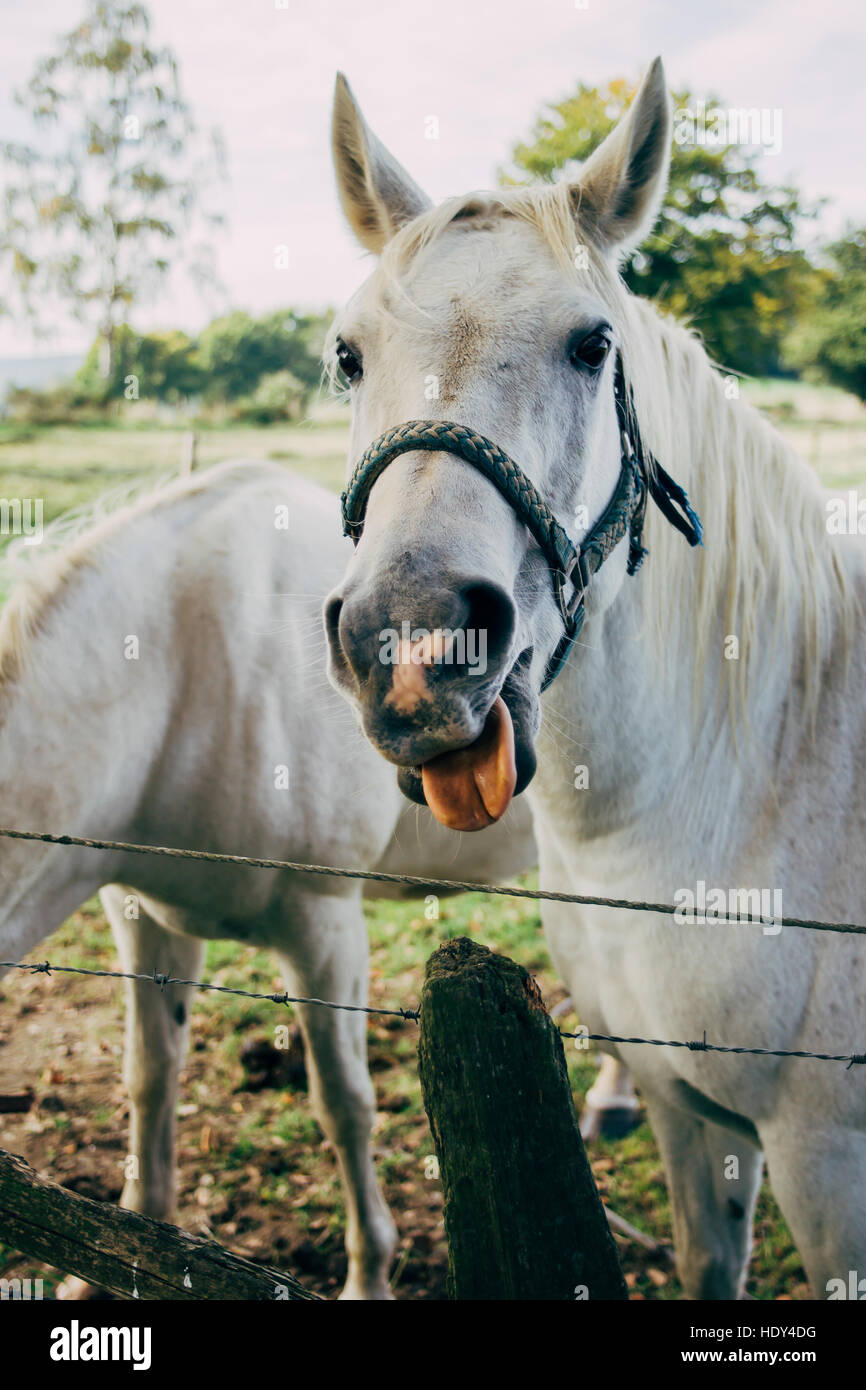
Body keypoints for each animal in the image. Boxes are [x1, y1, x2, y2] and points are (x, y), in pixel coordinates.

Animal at [0, 459, 537, 1300]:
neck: (181, 671)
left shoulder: (325, 929)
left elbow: (344, 1104)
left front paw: (368, 1276)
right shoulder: (143, 916)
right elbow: (150, 1077)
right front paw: (121, 1251)